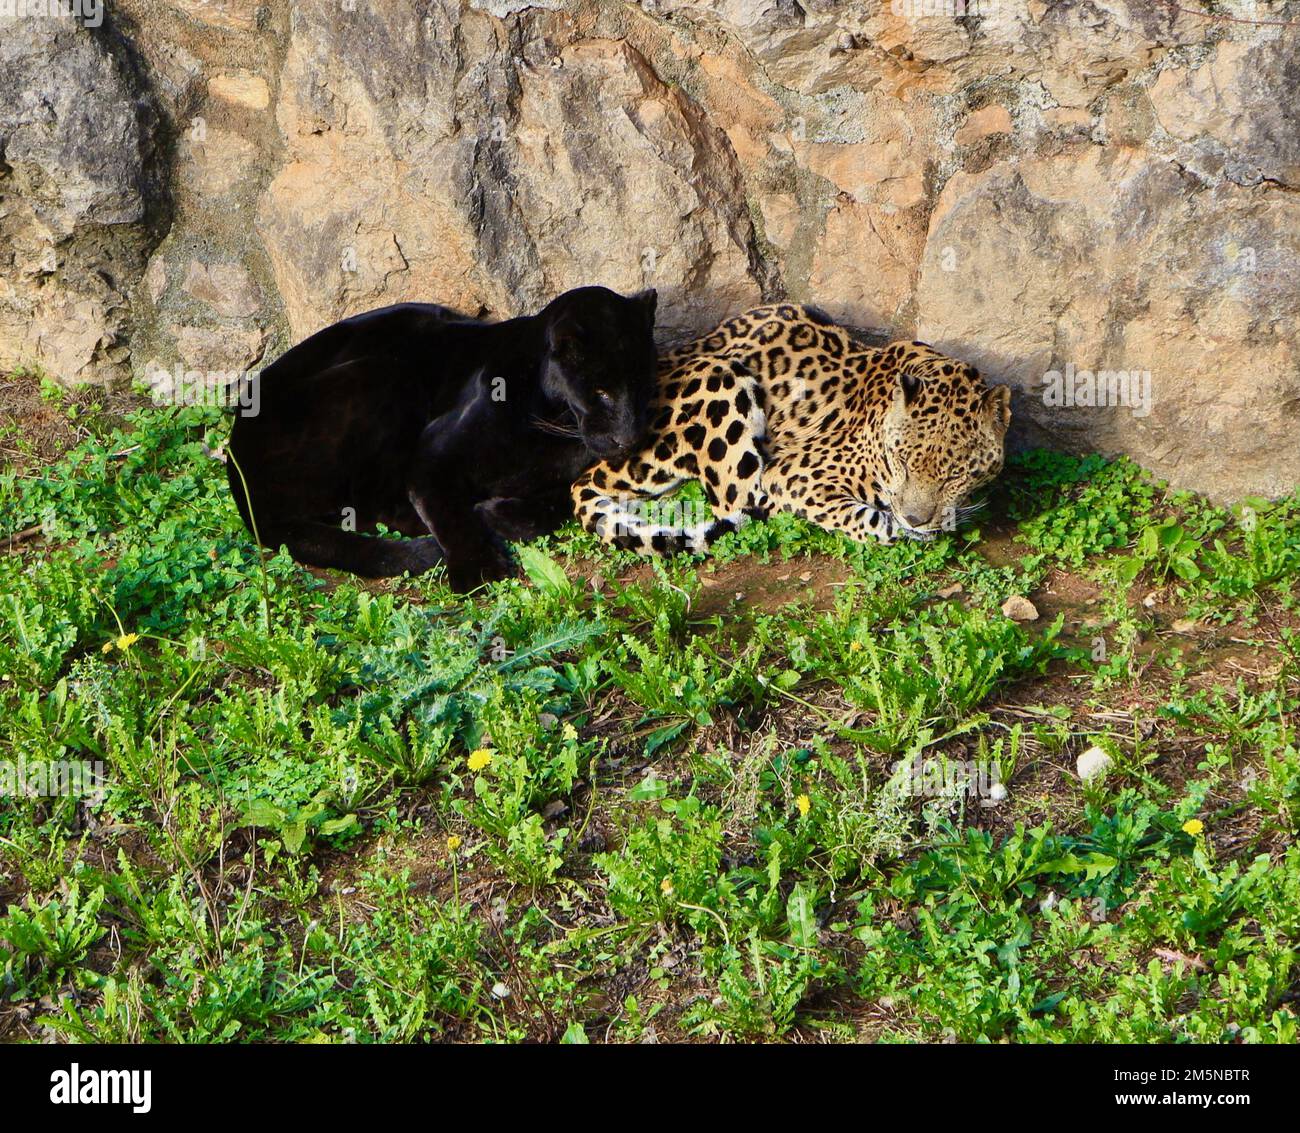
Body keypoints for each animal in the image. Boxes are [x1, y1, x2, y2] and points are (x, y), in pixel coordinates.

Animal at [570, 303, 1012, 557]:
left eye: (955, 475)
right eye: (901, 461)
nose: (916, 518)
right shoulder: (793, 474)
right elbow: (864, 518)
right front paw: (904, 527)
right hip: (722, 378)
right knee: (737, 503)